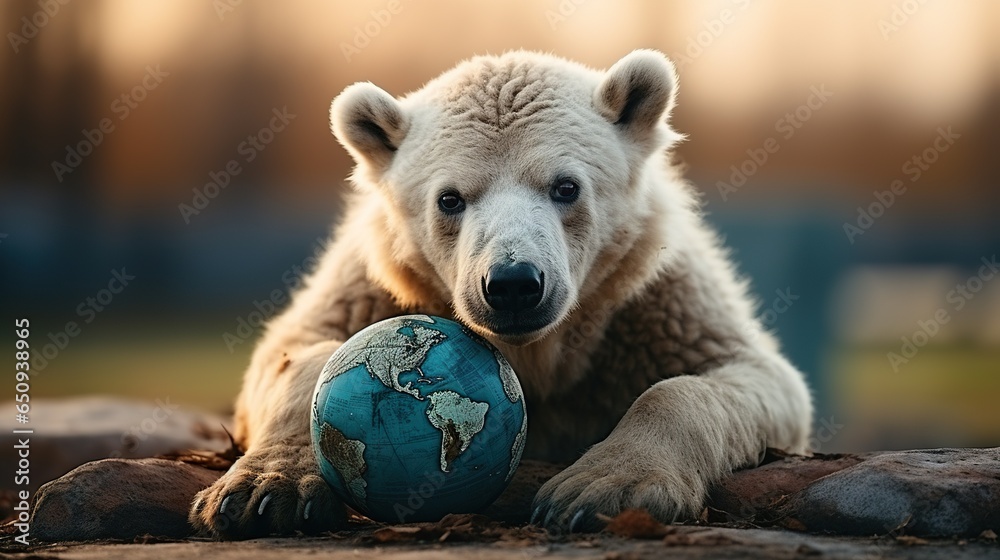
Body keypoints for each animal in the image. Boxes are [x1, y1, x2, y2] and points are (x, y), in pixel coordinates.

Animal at [189, 49, 813, 538]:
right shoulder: (377, 290)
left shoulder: (651, 304)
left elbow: (737, 377)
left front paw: (600, 487)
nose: (514, 285)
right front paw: (263, 492)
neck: (539, 353)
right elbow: (297, 353)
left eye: (566, 186)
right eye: (449, 199)